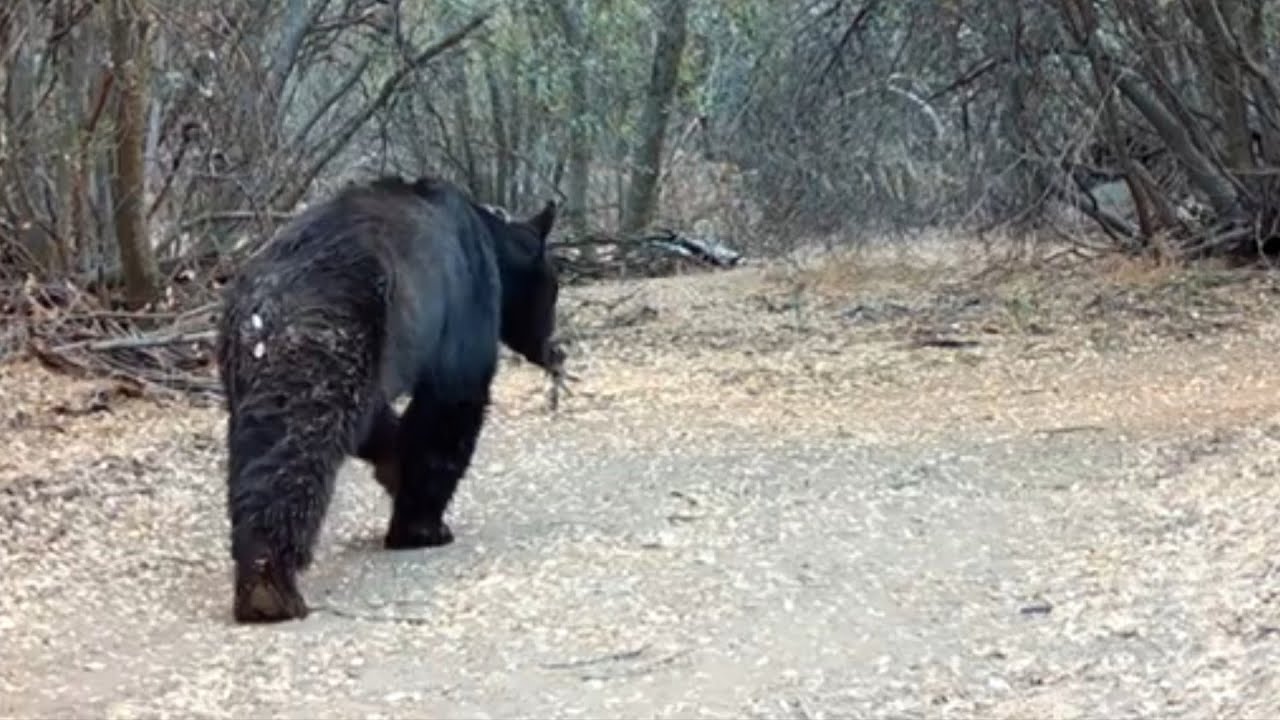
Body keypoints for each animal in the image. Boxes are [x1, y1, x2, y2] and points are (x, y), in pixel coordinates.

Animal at [214, 174, 563, 624]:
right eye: (555, 287)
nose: (555, 350)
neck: (490, 240)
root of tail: (267, 301)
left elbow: (378, 423)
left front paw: (396, 467)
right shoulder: (464, 307)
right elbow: (450, 405)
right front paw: (422, 526)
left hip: (246, 372)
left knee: (261, 447)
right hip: (336, 338)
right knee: (301, 446)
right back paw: (272, 588)